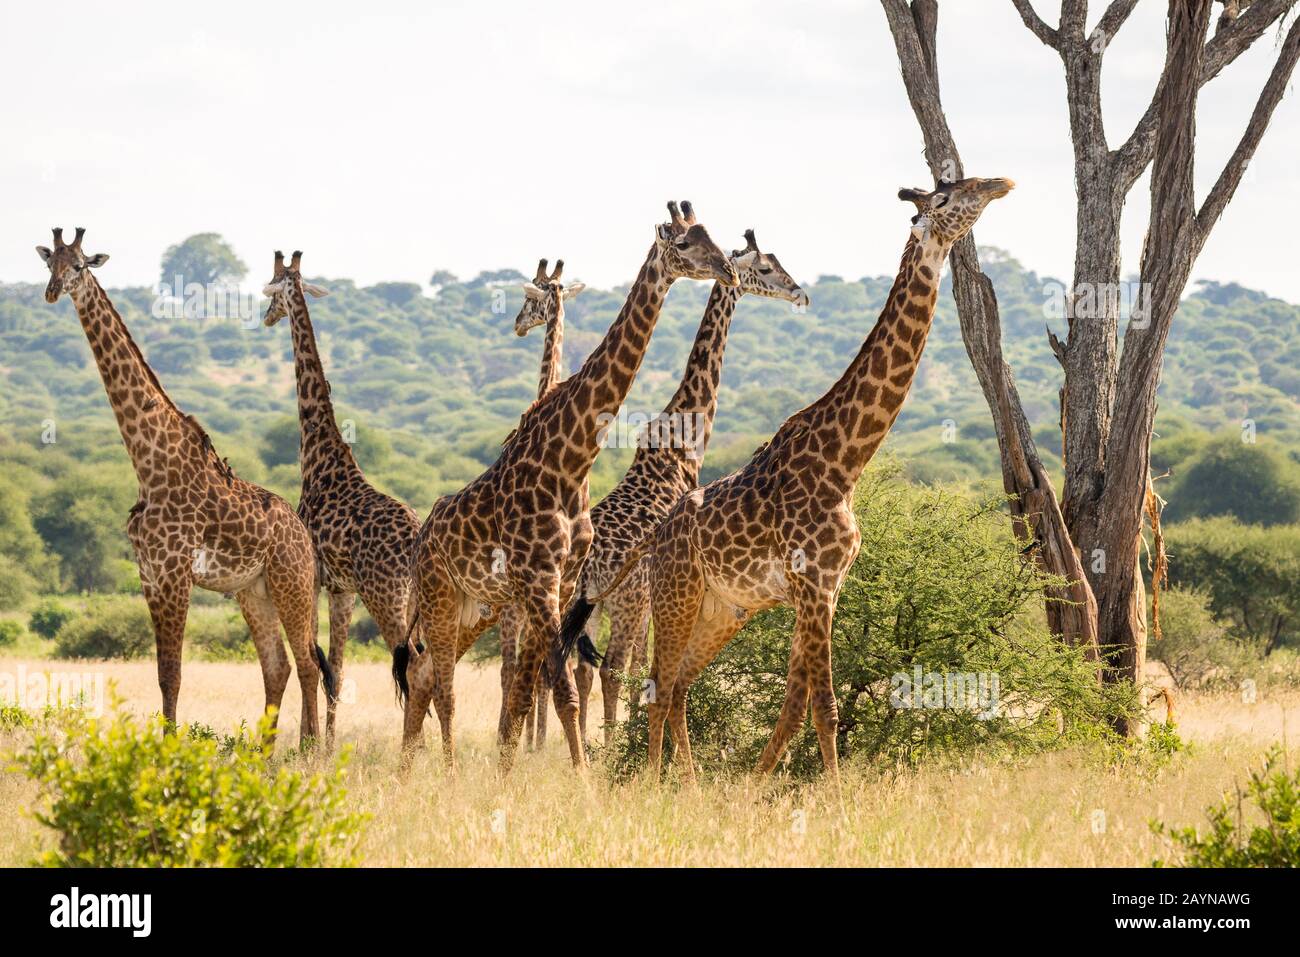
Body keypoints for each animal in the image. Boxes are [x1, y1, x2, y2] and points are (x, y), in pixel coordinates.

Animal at [35, 229, 331, 746]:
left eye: (80, 265)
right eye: (50, 263)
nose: (53, 291)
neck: (148, 463)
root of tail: (304, 537)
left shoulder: (175, 574)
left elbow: (174, 672)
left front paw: (171, 751)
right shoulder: (150, 574)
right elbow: (161, 673)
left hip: (290, 583)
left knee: (308, 663)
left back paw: (309, 752)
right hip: (252, 592)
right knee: (278, 666)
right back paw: (264, 754)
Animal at [262, 249, 425, 743]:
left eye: (273, 289)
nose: (266, 316)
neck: (319, 456)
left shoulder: (315, 577)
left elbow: (314, 659)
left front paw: (307, 743)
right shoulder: (341, 587)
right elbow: (335, 666)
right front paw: (327, 745)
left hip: (386, 594)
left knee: (411, 665)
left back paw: (412, 751)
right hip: (411, 598)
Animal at [398, 201, 737, 771]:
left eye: (711, 232)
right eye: (685, 243)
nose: (728, 269)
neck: (571, 460)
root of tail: (422, 539)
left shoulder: (561, 581)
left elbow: (533, 688)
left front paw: (518, 772)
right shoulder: (537, 581)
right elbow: (559, 689)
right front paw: (579, 780)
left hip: (472, 606)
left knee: (423, 675)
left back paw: (410, 770)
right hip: (441, 596)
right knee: (440, 682)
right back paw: (443, 771)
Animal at [559, 230, 809, 745]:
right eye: (767, 269)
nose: (799, 293)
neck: (686, 436)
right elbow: (647, 666)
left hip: (585, 606)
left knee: (577, 669)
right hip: (626, 601)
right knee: (610, 669)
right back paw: (608, 748)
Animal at [635, 177, 1014, 782]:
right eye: (947, 197)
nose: (1000, 184)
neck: (845, 462)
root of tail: (658, 536)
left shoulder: (824, 588)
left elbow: (793, 704)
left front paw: (754, 788)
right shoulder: (813, 584)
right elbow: (825, 706)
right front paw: (835, 797)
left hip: (723, 611)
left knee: (679, 688)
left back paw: (690, 786)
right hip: (676, 595)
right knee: (657, 686)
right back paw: (655, 784)